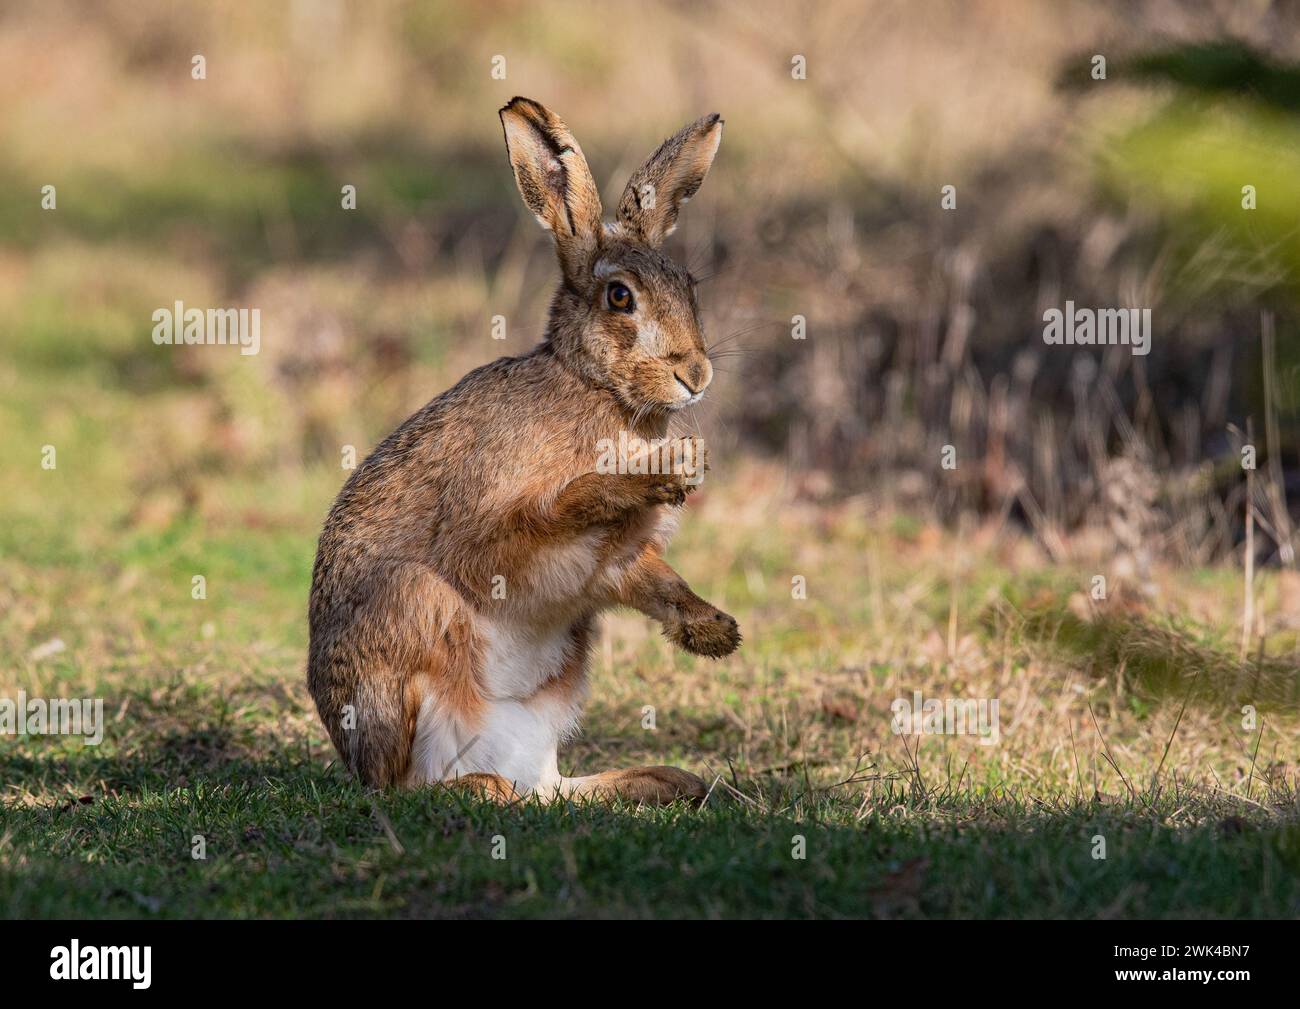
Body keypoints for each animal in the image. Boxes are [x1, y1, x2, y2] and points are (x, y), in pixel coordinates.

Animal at [307, 97, 740, 804]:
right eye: (620, 297)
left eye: (690, 285)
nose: (696, 375)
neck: (594, 386)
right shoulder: (495, 533)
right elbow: (556, 509)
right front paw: (658, 474)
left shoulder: (618, 562)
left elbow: (659, 581)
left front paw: (716, 633)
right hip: (409, 614)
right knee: (401, 787)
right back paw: (481, 789)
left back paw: (666, 781)